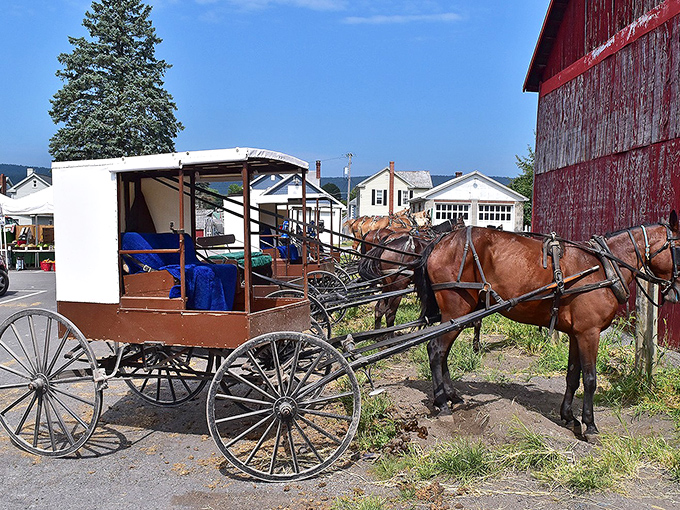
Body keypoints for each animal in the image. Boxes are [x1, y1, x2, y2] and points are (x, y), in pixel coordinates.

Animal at [413, 211, 680, 436]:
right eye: (679, 249)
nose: (676, 293)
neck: (604, 268)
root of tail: (440, 242)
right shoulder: (589, 333)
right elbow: (590, 379)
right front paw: (590, 425)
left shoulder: (576, 333)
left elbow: (572, 376)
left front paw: (569, 417)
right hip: (456, 310)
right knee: (435, 351)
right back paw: (442, 404)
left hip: (457, 316)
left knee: (442, 354)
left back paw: (453, 397)